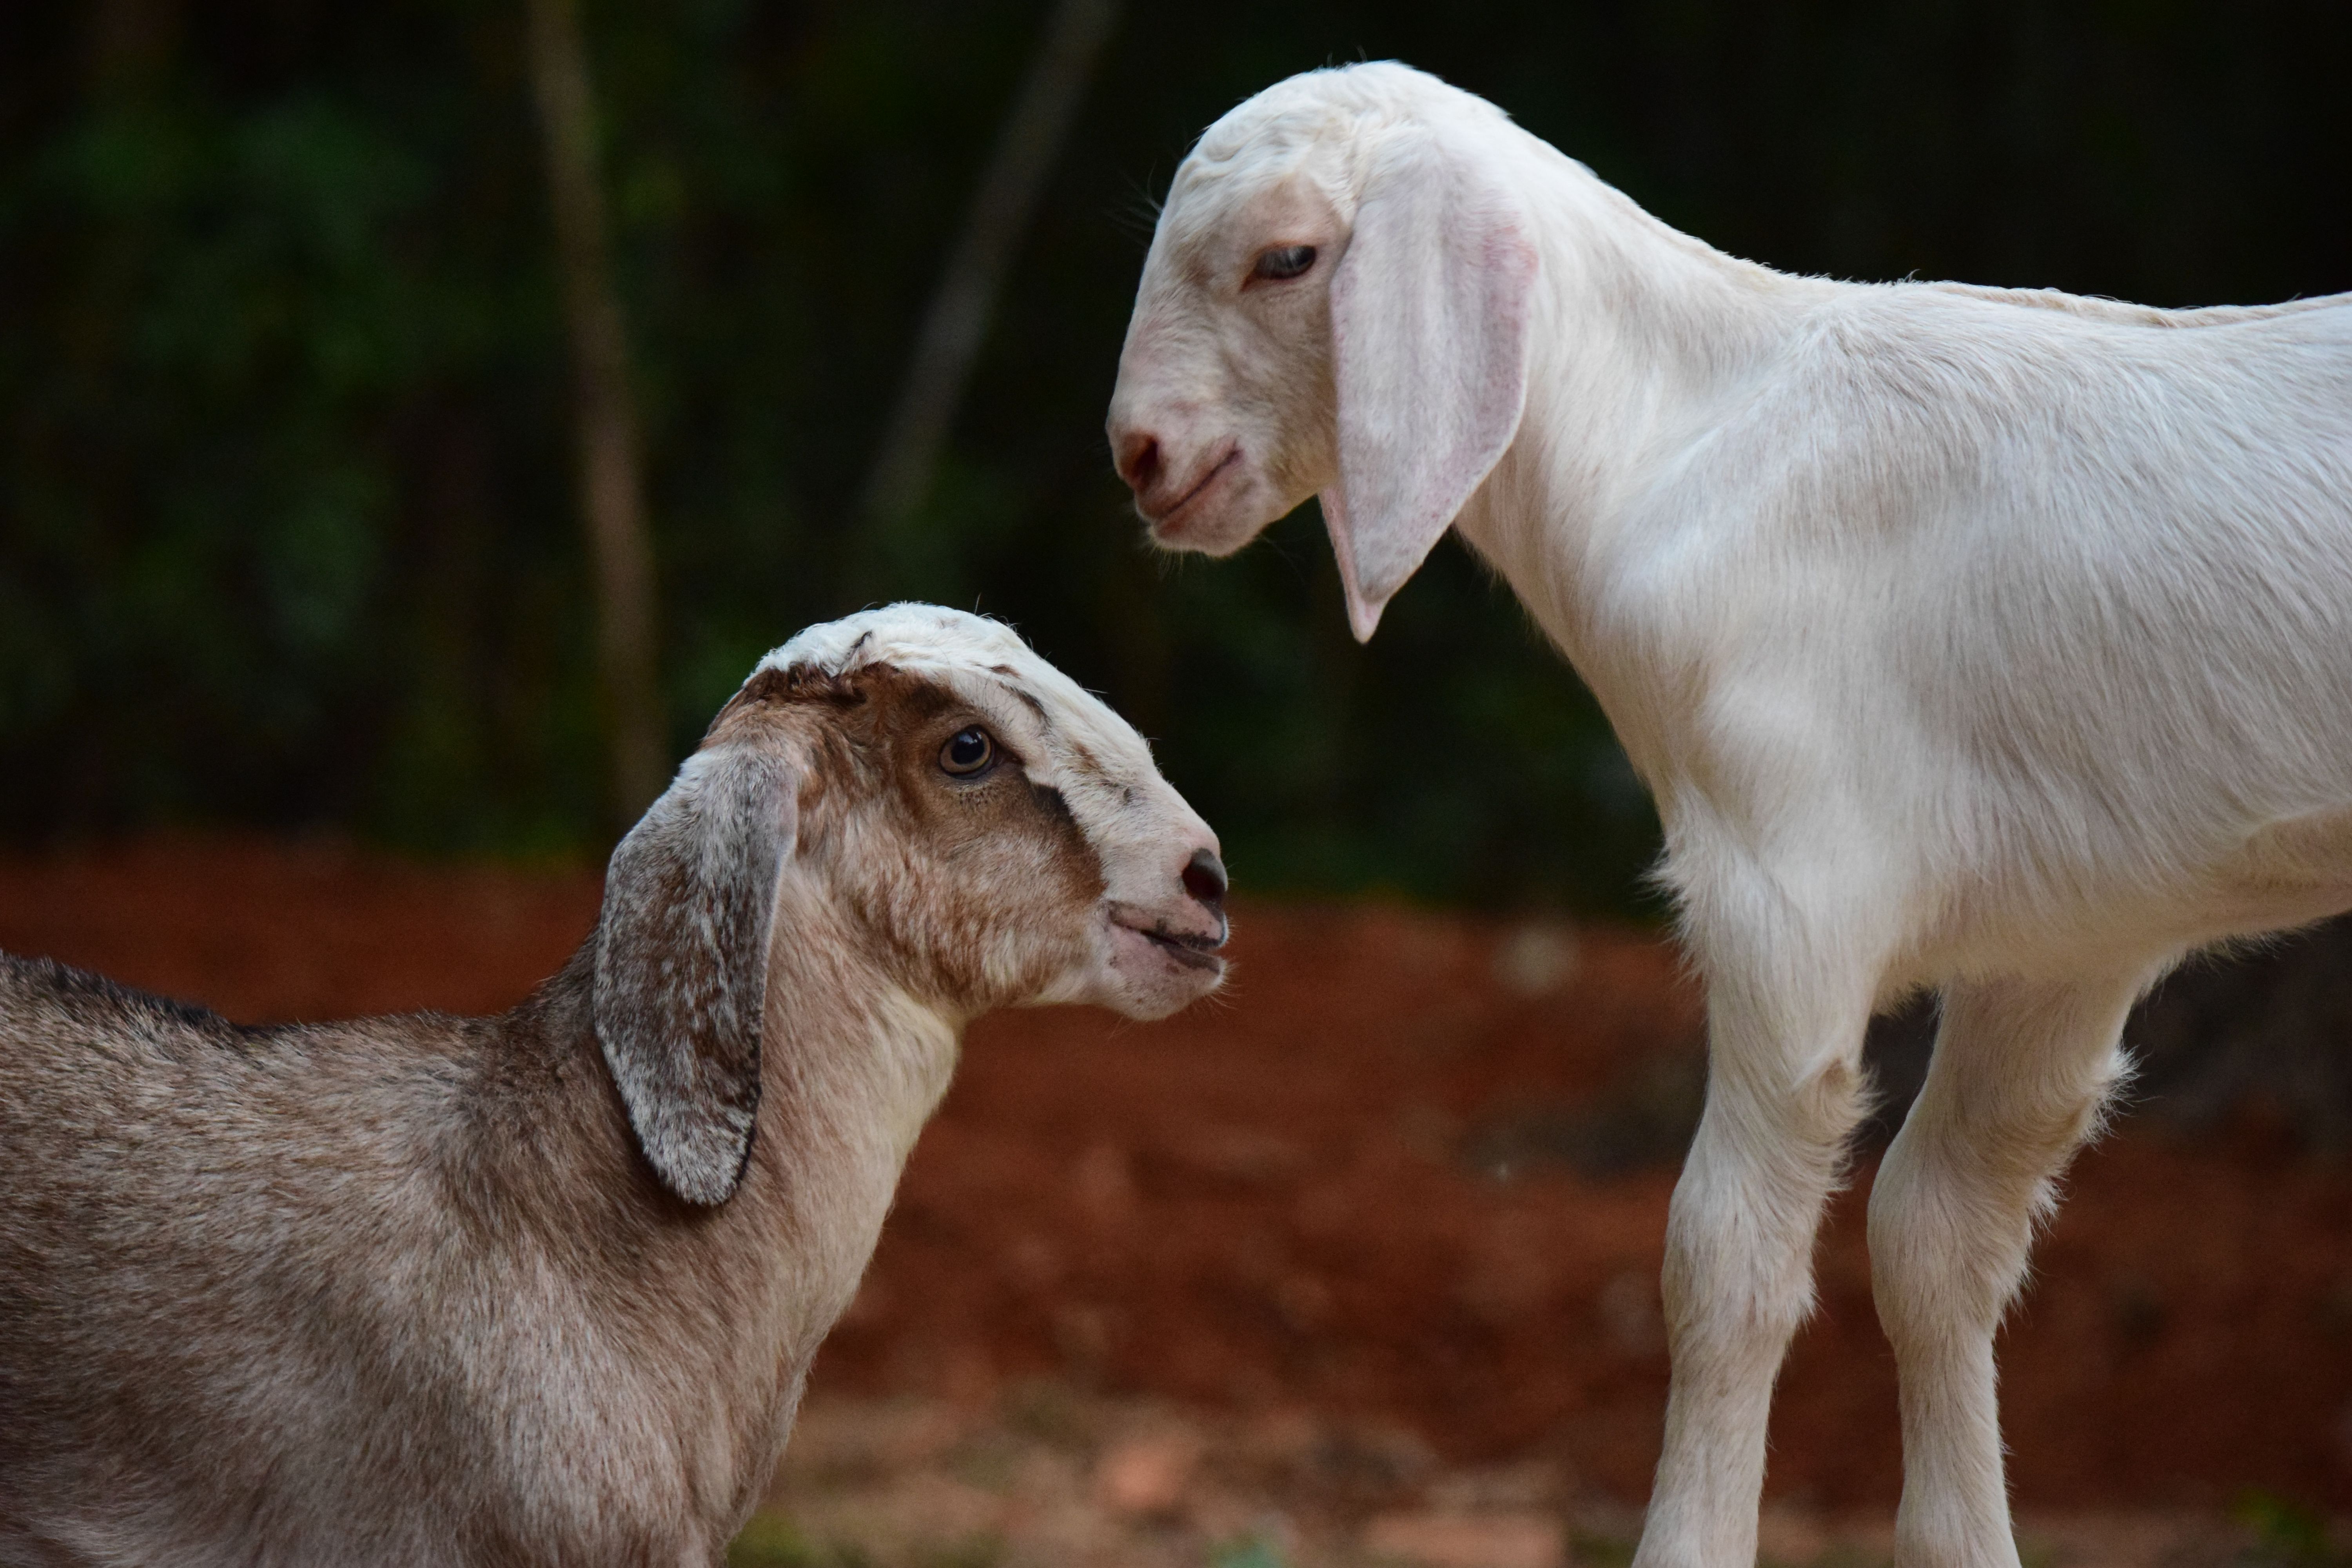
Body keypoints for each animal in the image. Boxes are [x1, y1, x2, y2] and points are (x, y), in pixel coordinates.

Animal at [1106, 61, 2352, 1568]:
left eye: (1286, 259)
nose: (1140, 455)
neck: (1678, 445)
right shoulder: (2061, 939)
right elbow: (1936, 1234)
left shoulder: (1784, 890)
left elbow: (1723, 1259)